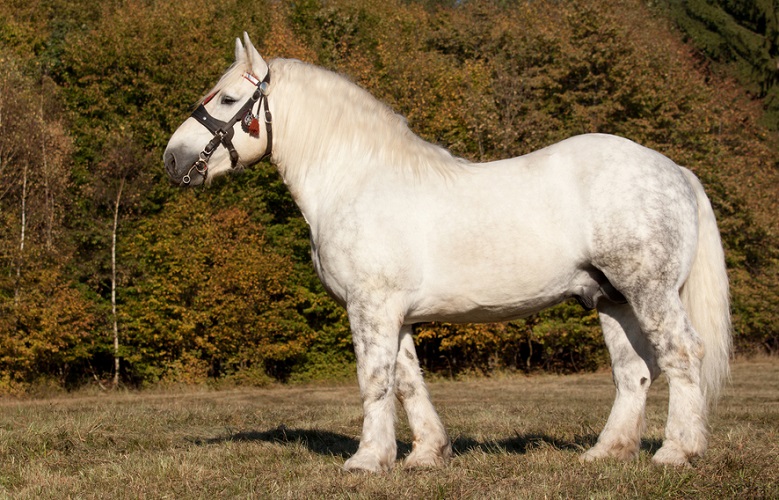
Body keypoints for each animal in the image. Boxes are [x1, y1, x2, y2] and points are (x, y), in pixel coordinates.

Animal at [164, 34, 731, 472]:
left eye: (227, 99)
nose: (173, 160)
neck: (356, 178)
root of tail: (673, 170)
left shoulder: (370, 307)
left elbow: (375, 381)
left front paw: (366, 460)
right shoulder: (395, 315)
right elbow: (408, 382)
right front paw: (424, 455)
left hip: (650, 291)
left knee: (683, 355)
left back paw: (676, 452)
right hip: (611, 298)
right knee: (634, 373)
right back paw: (605, 453)